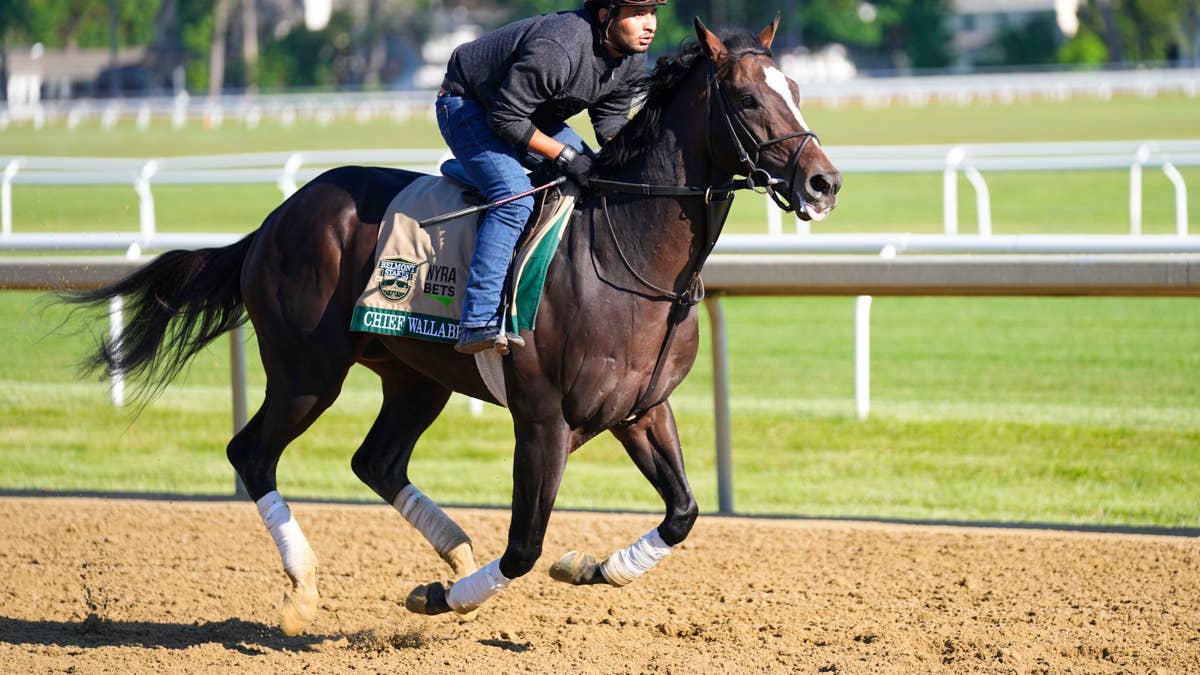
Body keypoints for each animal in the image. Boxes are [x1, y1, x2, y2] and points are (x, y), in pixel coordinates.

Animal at [66, 16, 840, 634]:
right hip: (306, 373)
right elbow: (524, 545)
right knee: (251, 452)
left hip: (414, 376)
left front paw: (591, 567)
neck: (624, 251)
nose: (823, 183)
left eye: (798, 90)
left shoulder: (640, 408)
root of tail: (275, 219)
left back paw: (454, 545)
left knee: (375, 459)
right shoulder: (542, 419)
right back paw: (306, 589)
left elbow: (682, 512)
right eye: (748, 97)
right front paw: (445, 595)